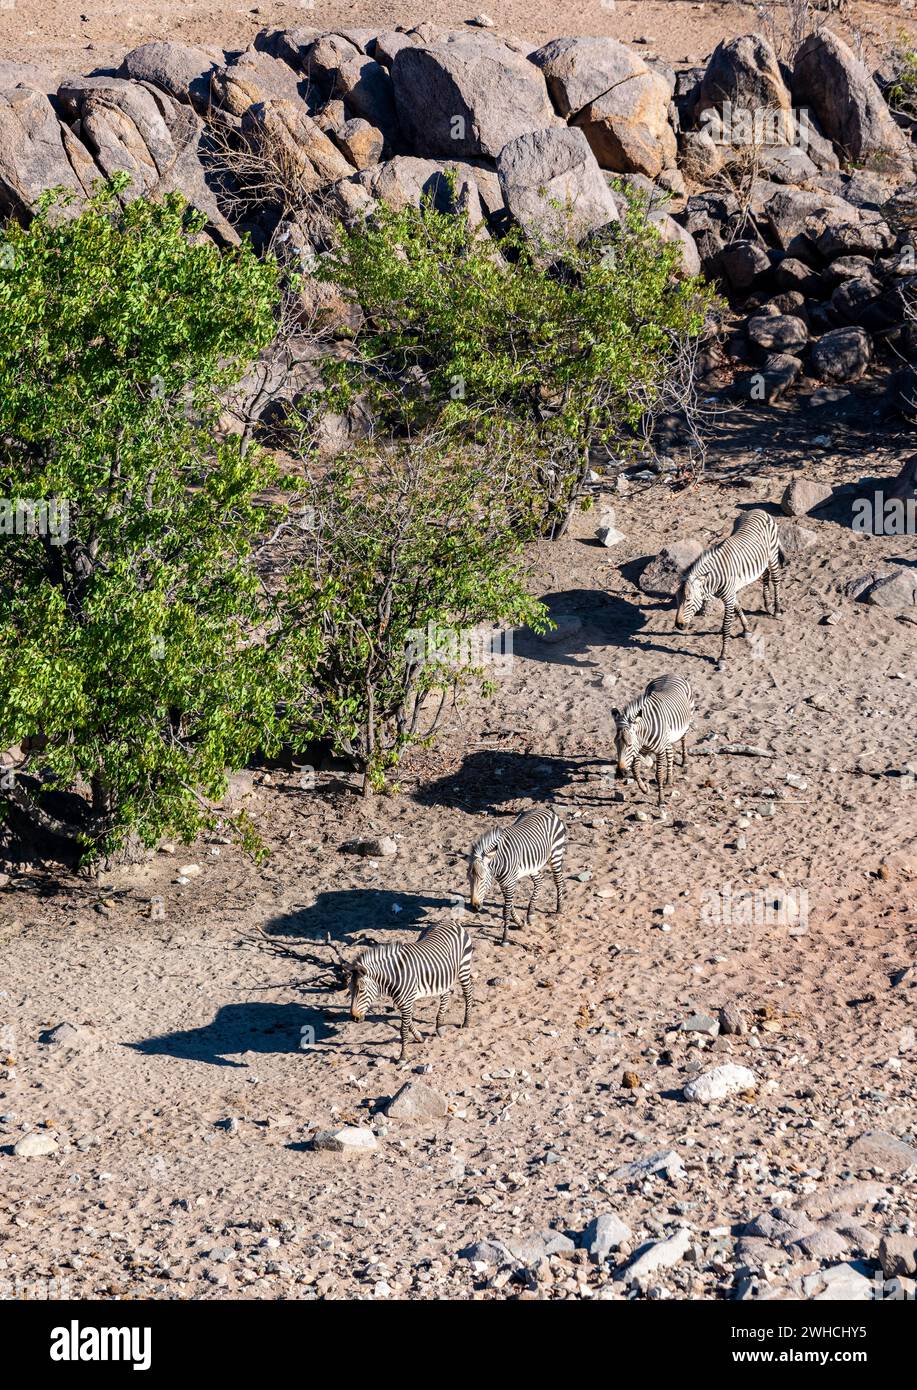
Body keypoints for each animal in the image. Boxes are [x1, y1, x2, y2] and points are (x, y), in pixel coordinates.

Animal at [331, 922, 473, 1061]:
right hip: (443, 976)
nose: (354, 1018)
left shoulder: (406, 1002)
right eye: (349, 989)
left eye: (361, 990)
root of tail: (450, 921)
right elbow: (409, 1023)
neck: (394, 977)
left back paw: (466, 1022)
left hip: (464, 967)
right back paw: (439, 1026)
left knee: (468, 992)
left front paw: (403, 1056)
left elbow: (403, 1030)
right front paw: (419, 1037)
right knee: (446, 994)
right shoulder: (401, 1002)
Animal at [468, 807, 567, 945]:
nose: (474, 907)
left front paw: (505, 939)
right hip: (533, 865)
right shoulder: (503, 883)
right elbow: (510, 907)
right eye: (468, 879)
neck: (498, 864)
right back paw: (530, 913)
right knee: (539, 881)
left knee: (558, 880)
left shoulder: (510, 883)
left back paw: (559, 909)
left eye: (482, 879)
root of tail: (545, 810)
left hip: (556, 854)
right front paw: (520, 923)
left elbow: (506, 910)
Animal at [612, 675, 694, 806]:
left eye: (629, 745)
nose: (620, 773)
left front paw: (661, 800)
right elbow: (635, 770)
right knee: (670, 752)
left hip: (687, 721)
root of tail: (670, 674)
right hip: (667, 735)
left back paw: (684, 761)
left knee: (683, 740)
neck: (644, 737)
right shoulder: (639, 750)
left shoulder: (659, 750)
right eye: (615, 744)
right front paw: (645, 789)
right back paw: (669, 779)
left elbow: (659, 774)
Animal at [674, 509, 785, 665]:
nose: (679, 625)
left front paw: (722, 657)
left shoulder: (728, 596)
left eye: (688, 600)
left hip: (773, 554)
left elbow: (726, 627)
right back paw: (768, 604)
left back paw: (776, 610)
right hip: (761, 559)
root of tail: (759, 510)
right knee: (765, 574)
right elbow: (738, 607)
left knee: (775, 579)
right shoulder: (730, 594)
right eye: (677, 599)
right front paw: (746, 629)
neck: (714, 580)